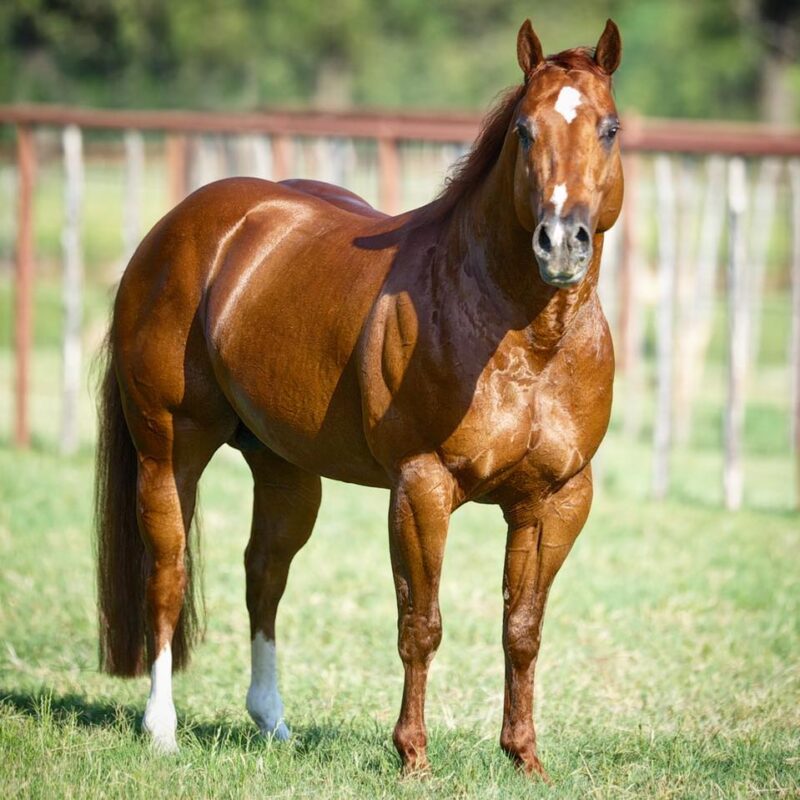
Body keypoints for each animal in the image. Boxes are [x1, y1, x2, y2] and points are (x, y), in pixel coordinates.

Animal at [95, 18, 623, 778]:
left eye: (609, 128)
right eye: (524, 130)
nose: (560, 243)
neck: (525, 337)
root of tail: (177, 229)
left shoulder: (556, 500)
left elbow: (522, 629)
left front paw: (525, 758)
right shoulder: (421, 487)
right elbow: (420, 625)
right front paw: (413, 757)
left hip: (286, 471)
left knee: (264, 575)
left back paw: (272, 723)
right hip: (170, 452)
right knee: (168, 573)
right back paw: (161, 728)